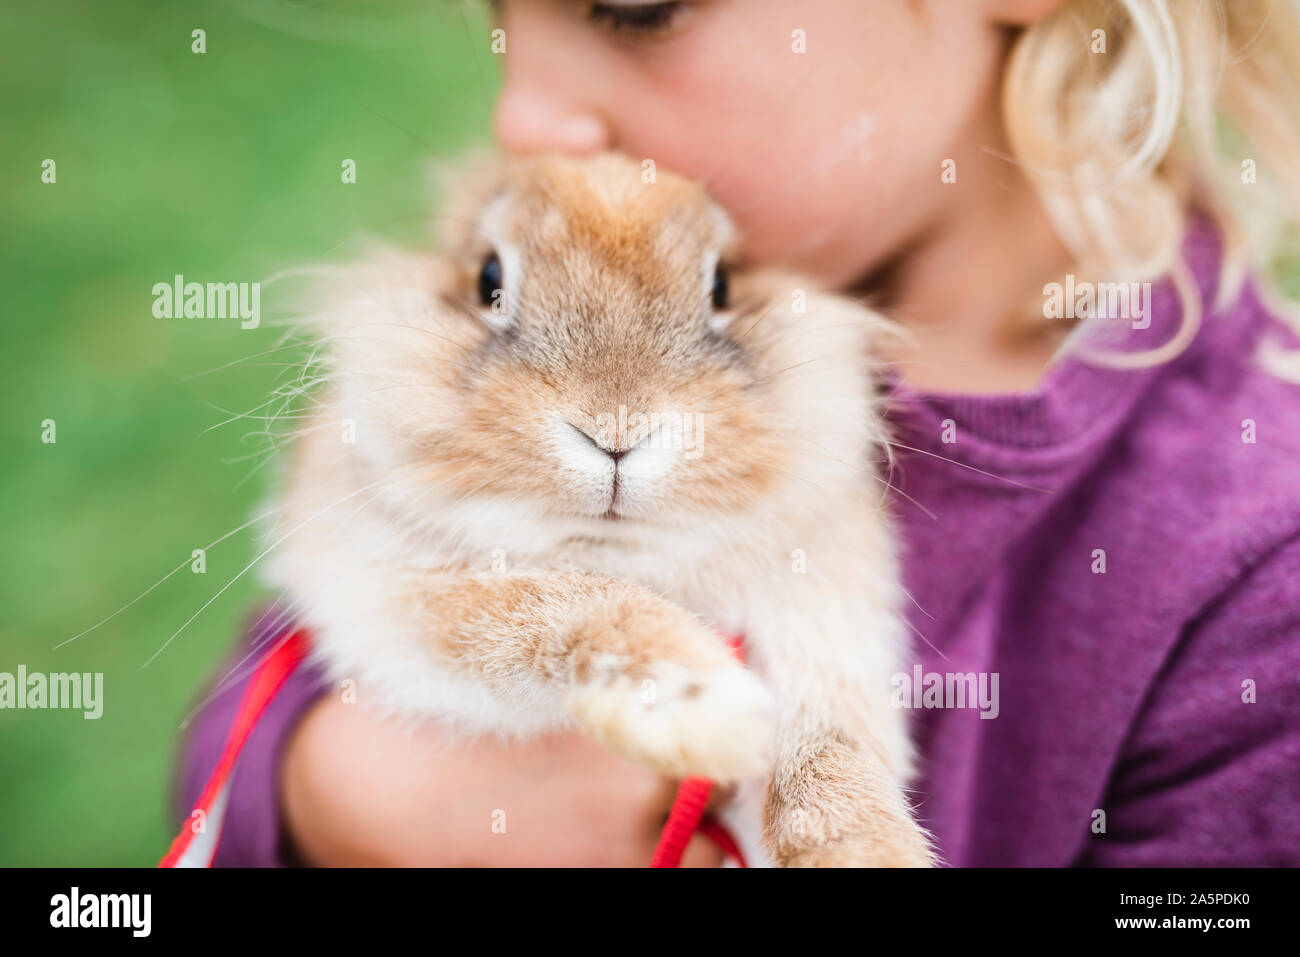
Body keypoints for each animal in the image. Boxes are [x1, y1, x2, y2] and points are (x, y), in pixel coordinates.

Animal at [262, 152, 933, 867]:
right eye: (488, 279)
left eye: (723, 285)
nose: (616, 431)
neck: (616, 551)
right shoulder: (396, 595)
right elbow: (558, 607)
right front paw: (702, 710)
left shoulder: (827, 625)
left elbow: (829, 742)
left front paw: (866, 848)